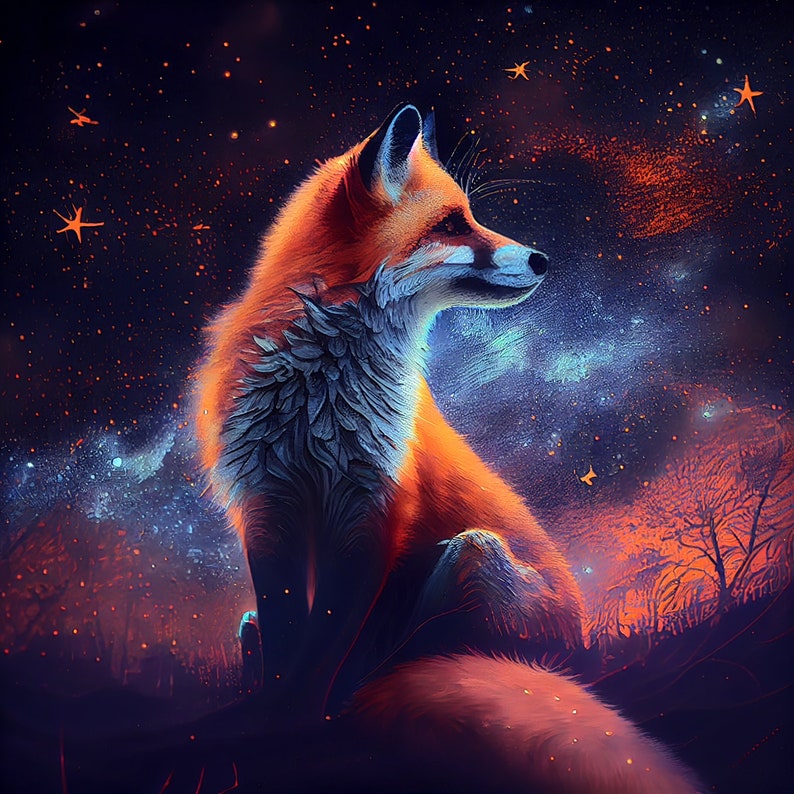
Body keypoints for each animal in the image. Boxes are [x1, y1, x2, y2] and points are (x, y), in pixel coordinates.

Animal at [195, 105, 700, 791]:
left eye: (469, 215)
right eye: (453, 224)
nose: (543, 259)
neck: (317, 398)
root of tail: (588, 651)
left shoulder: (373, 511)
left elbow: (324, 644)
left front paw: (292, 726)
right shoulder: (267, 502)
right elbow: (286, 632)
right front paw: (268, 721)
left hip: (474, 555)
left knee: (397, 661)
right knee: (284, 638)